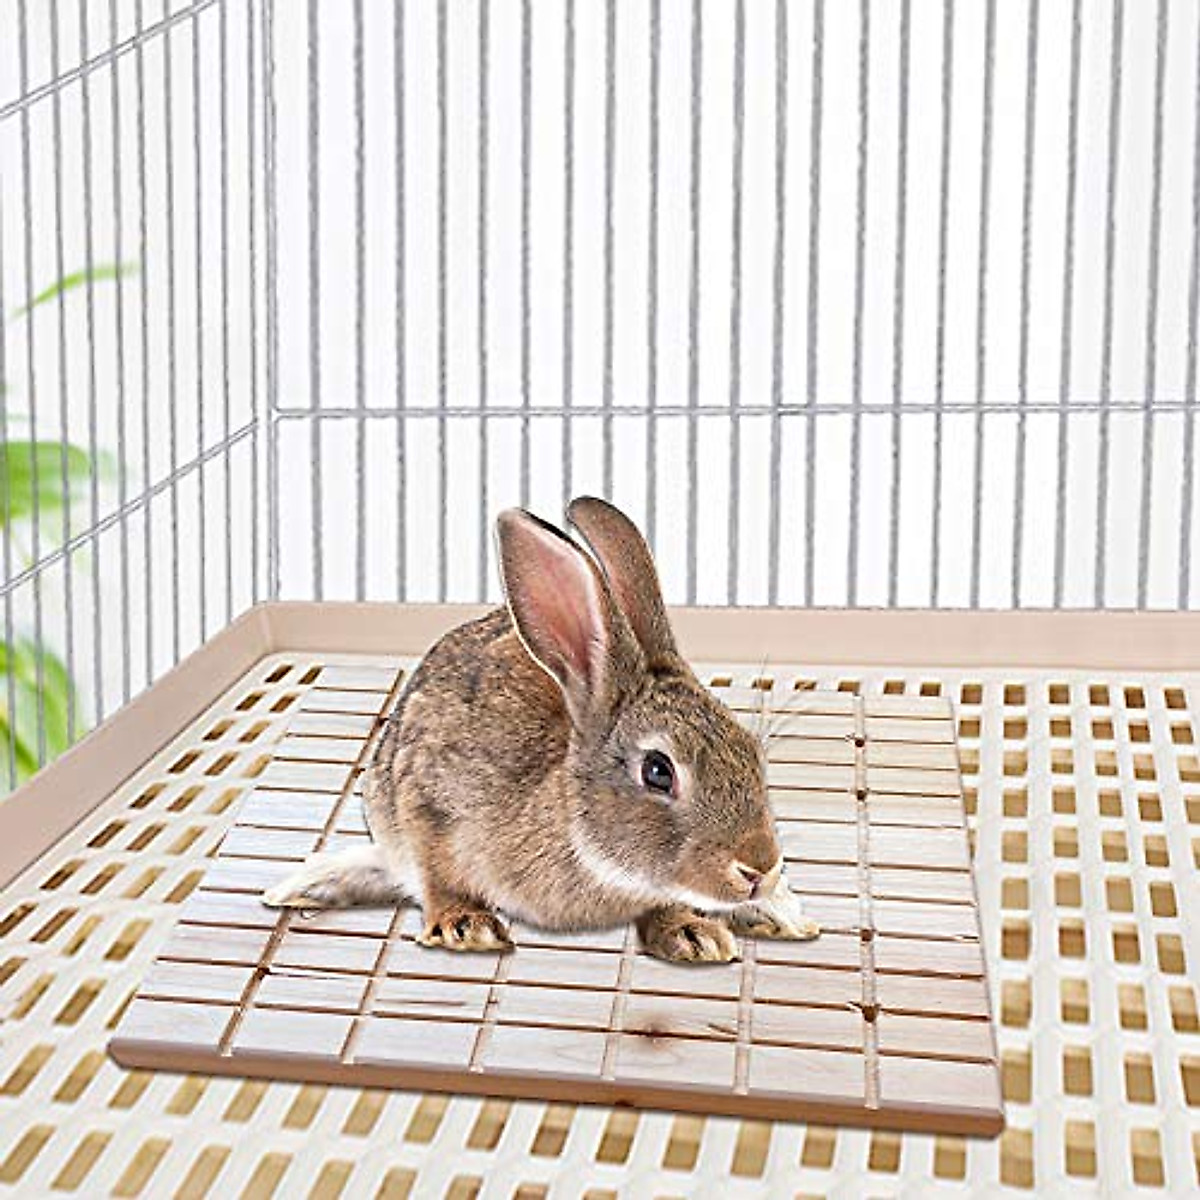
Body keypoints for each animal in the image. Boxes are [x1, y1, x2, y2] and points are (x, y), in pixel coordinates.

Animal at [263, 497, 819, 962]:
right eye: (659, 771)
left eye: (751, 753)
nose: (760, 868)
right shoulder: (425, 801)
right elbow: (439, 876)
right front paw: (466, 926)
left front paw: (692, 933)